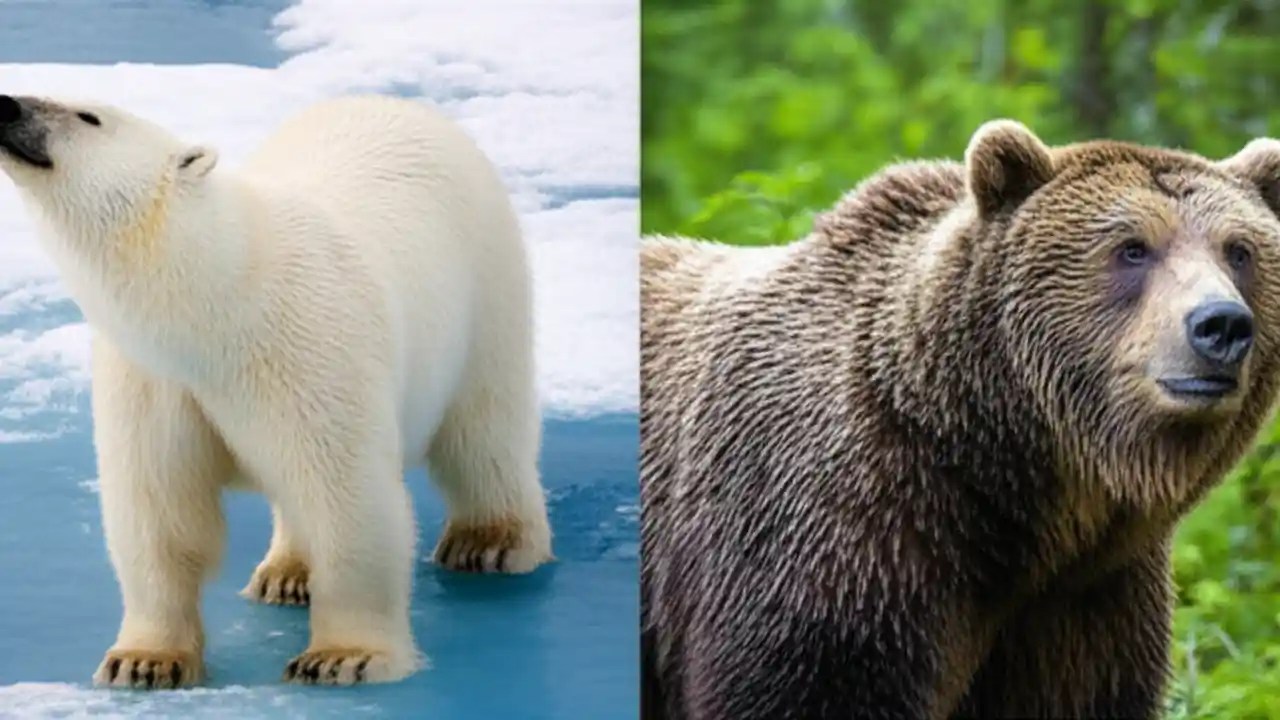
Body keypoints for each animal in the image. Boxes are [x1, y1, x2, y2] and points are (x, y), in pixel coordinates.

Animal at [0, 93, 552, 688]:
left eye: (89, 116)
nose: (7, 105)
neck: (222, 302)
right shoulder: (155, 380)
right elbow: (159, 510)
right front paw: (144, 660)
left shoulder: (311, 344)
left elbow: (347, 496)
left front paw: (342, 656)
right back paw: (286, 573)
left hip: (485, 289)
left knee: (484, 430)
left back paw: (489, 542)